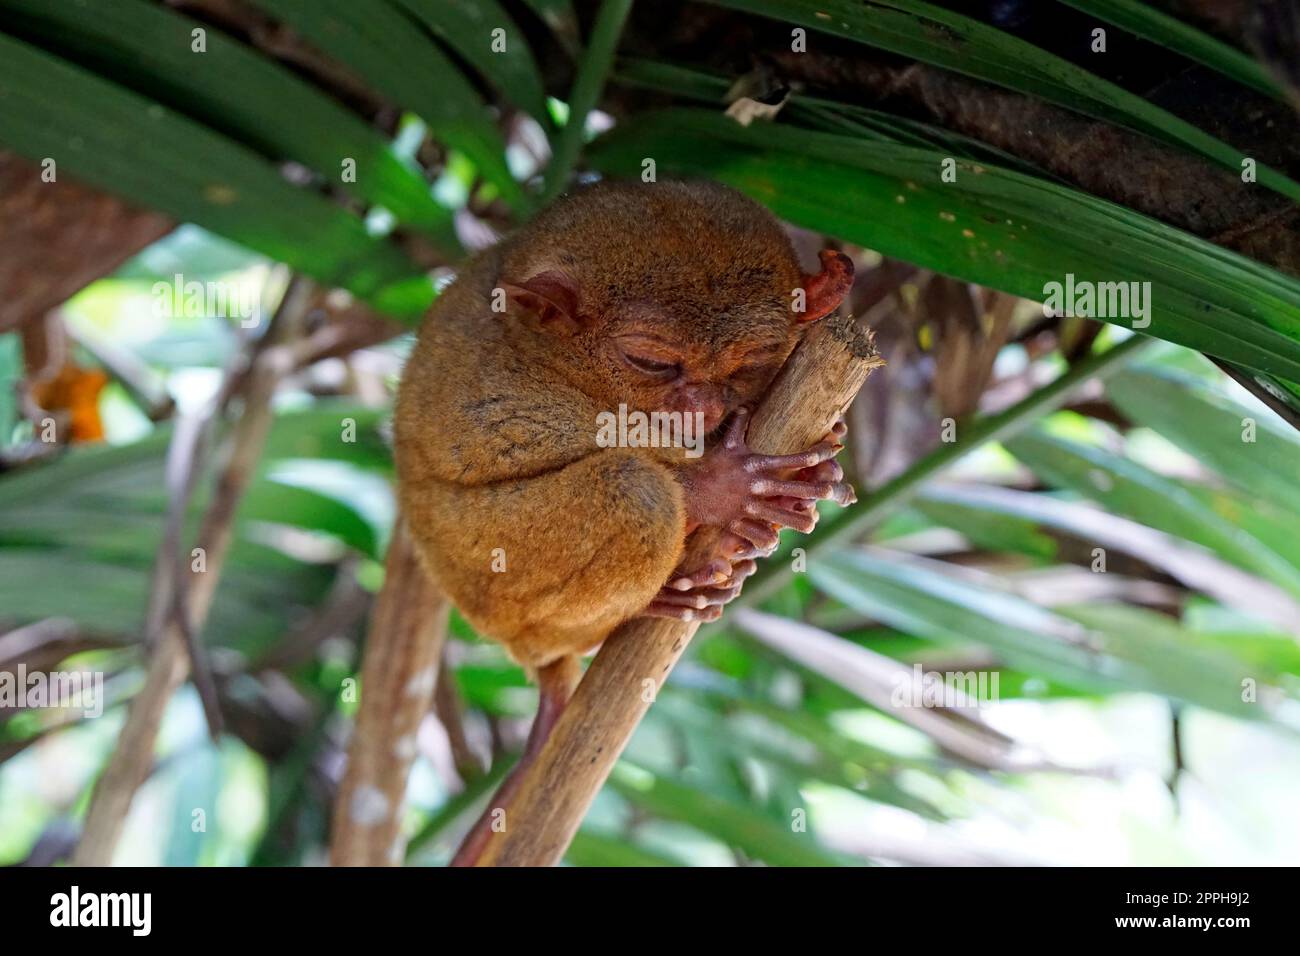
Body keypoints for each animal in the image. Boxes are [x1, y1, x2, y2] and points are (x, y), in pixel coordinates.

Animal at [393, 180, 857, 866]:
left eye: (753, 361)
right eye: (652, 362)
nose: (704, 408)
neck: (546, 349)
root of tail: (525, 654)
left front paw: (816, 475)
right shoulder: (508, 390)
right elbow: (524, 444)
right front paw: (726, 488)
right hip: (499, 578)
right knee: (636, 491)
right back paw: (666, 594)